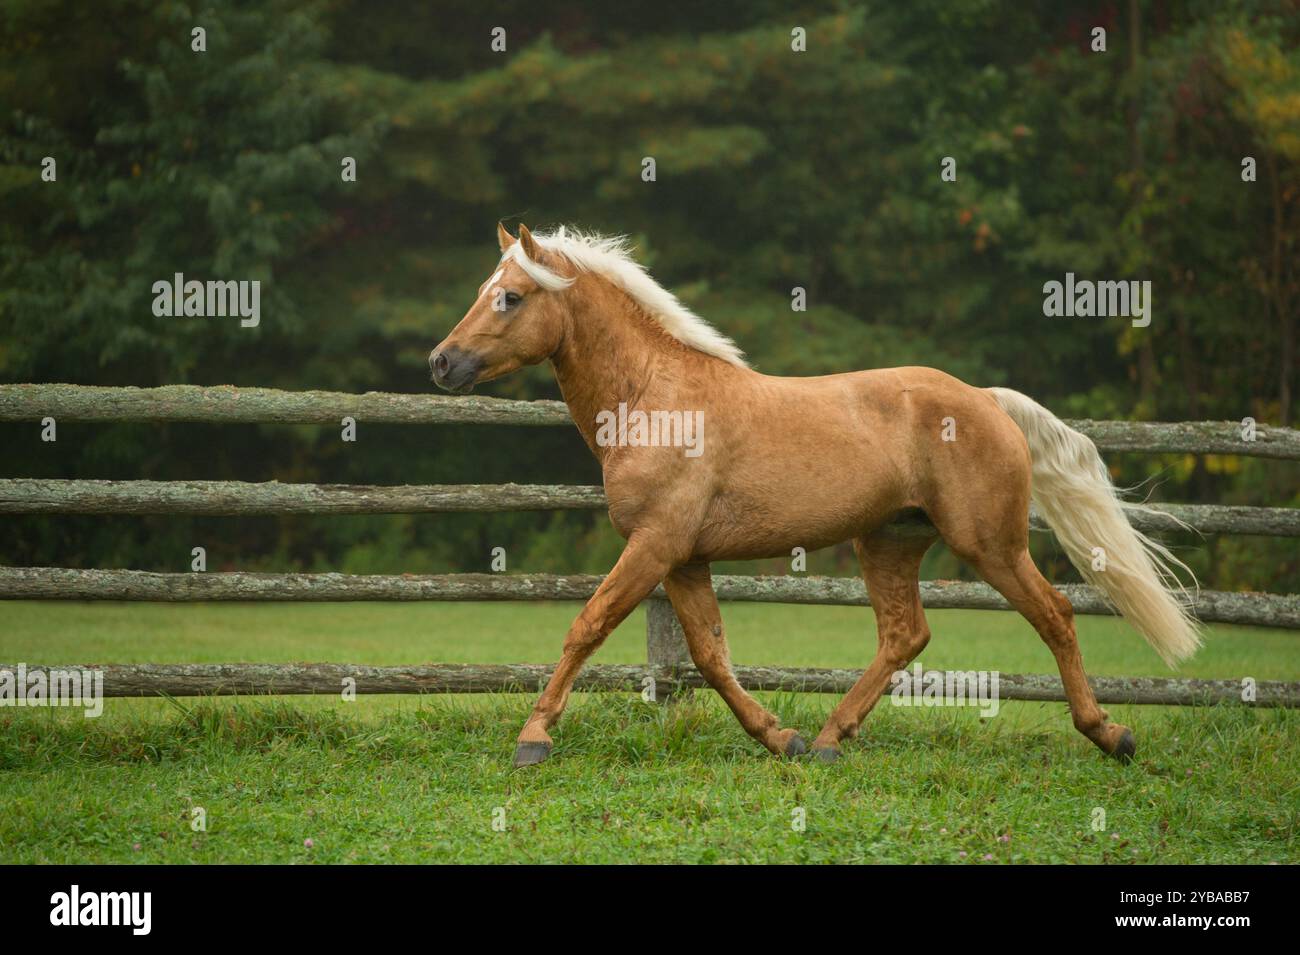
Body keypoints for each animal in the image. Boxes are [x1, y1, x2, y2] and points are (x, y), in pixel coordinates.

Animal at [429, 223, 1201, 768]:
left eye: (510, 296)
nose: (441, 361)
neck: (655, 396)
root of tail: (985, 399)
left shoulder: (653, 545)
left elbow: (587, 626)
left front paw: (533, 737)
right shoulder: (684, 558)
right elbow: (710, 655)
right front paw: (782, 738)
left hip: (990, 544)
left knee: (1056, 615)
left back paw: (1111, 734)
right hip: (889, 540)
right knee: (905, 634)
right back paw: (830, 737)